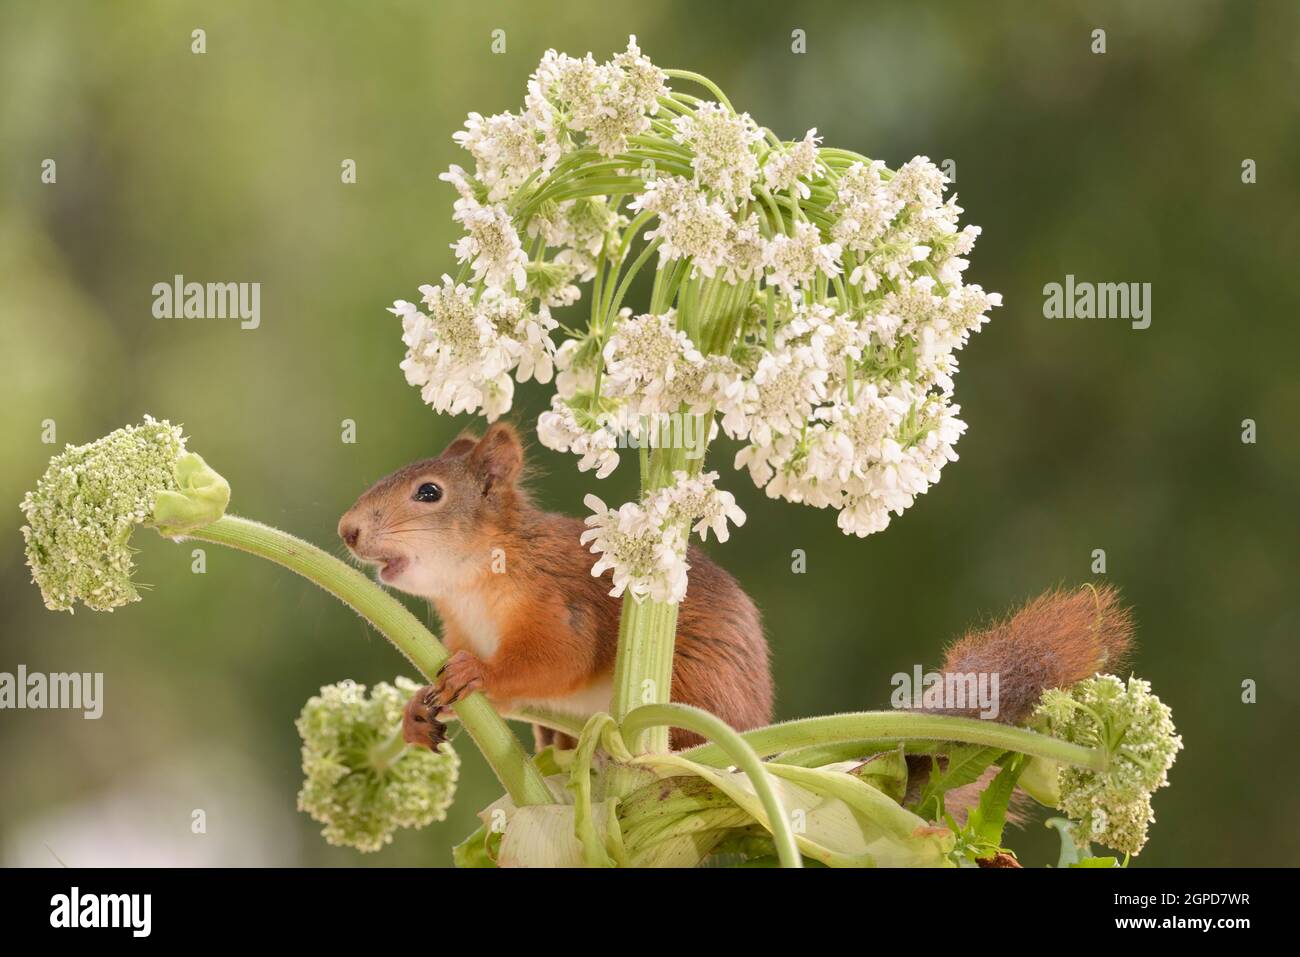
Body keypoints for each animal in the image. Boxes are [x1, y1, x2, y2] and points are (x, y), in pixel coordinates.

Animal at [338, 422, 773, 751]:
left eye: (429, 492)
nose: (347, 531)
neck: (470, 589)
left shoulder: (559, 600)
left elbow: (563, 658)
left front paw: (478, 672)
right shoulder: (462, 632)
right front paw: (417, 707)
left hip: (693, 683)